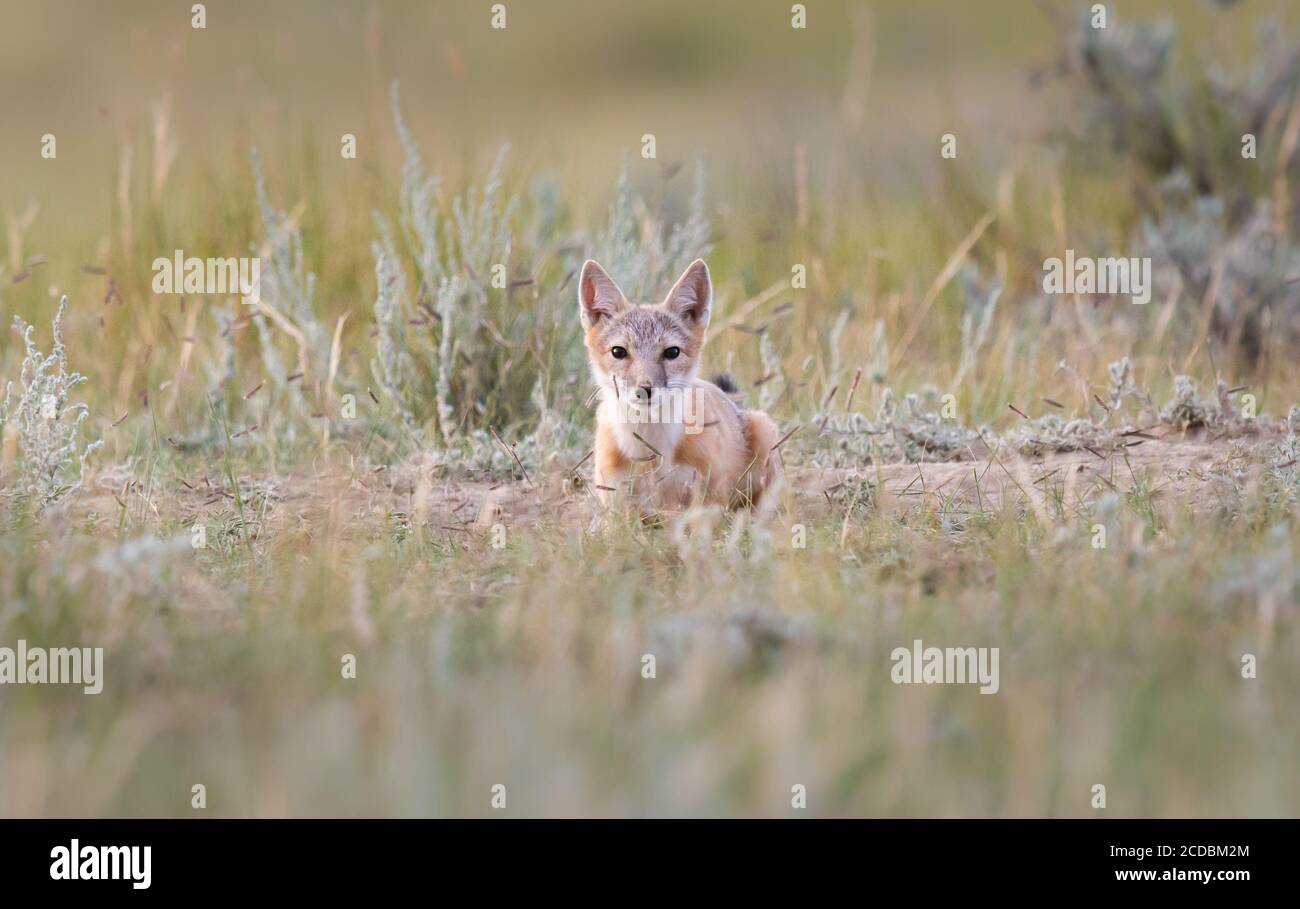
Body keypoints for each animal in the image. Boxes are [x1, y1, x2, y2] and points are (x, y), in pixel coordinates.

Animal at [578, 257, 782, 514]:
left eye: (672, 352)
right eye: (618, 352)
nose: (645, 390)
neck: (651, 452)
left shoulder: (706, 500)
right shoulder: (616, 507)